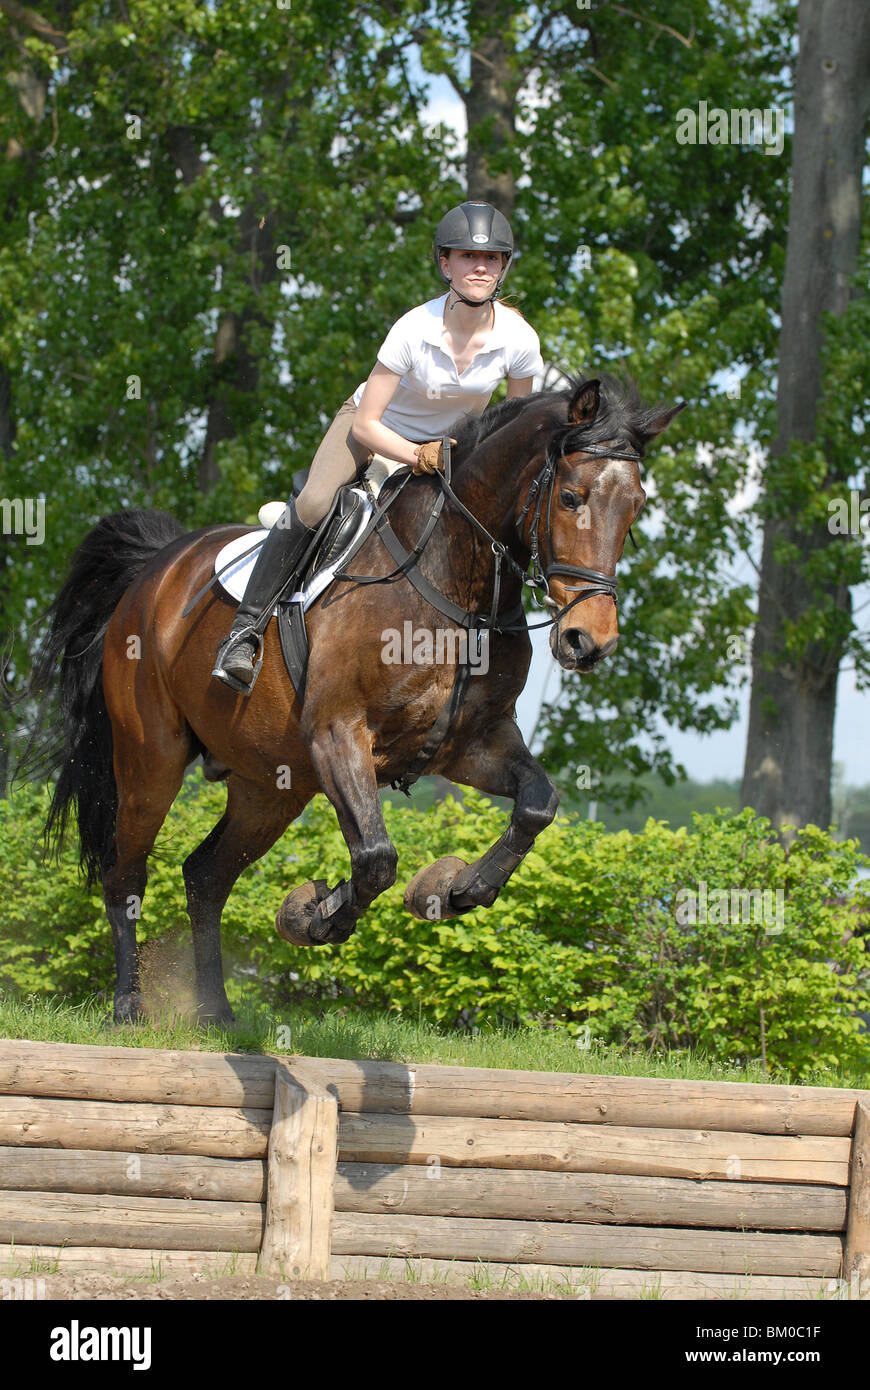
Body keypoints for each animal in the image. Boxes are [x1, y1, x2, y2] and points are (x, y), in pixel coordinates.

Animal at [25, 374, 684, 1024]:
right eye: (570, 497)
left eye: (635, 510)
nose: (588, 641)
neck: (455, 582)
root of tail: (157, 567)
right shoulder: (338, 733)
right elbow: (374, 856)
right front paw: (314, 915)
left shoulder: (472, 744)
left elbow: (537, 805)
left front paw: (457, 890)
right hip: (151, 759)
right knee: (126, 872)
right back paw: (128, 1006)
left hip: (270, 785)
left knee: (206, 876)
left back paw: (216, 1011)